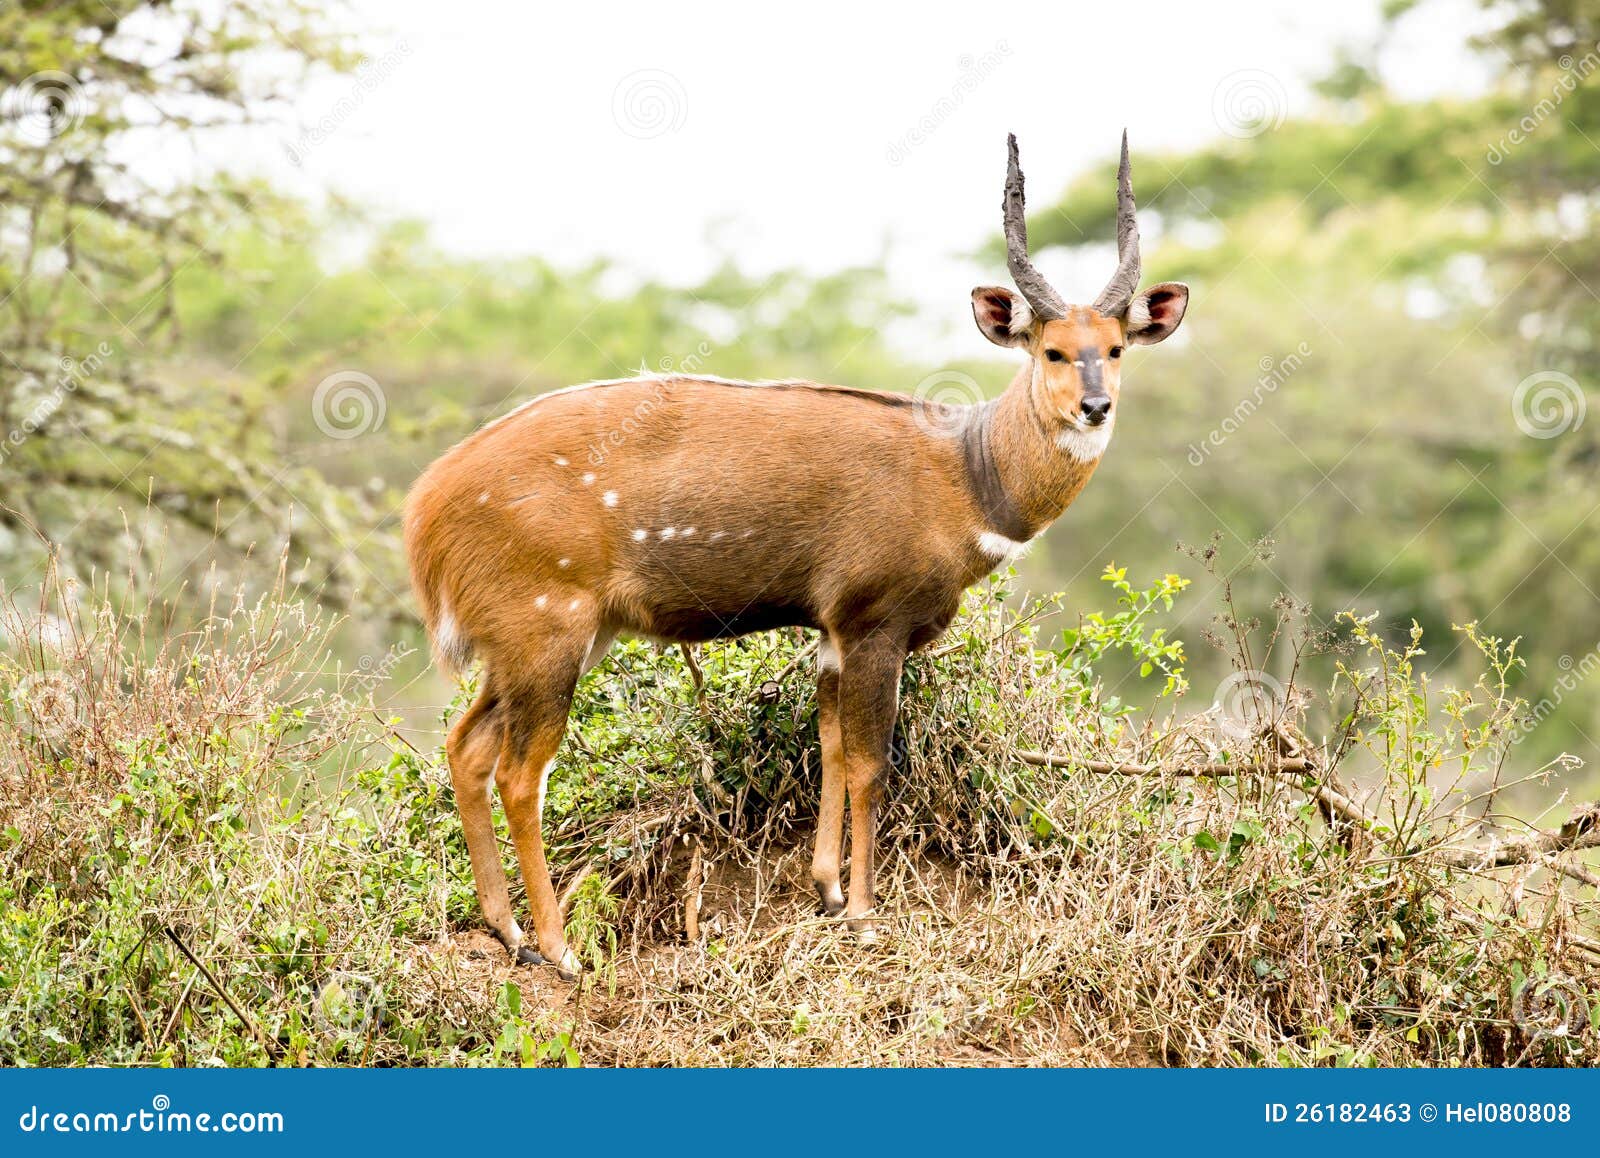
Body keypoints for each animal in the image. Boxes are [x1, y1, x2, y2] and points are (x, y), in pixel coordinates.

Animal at [404, 133, 1188, 978]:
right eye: (1052, 351)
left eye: (1115, 348)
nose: (1095, 406)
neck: (965, 475)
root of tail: (425, 506)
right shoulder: (875, 622)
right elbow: (872, 765)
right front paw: (868, 917)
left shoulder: (831, 634)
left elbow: (832, 746)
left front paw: (829, 891)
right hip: (548, 630)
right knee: (520, 772)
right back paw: (557, 948)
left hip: (539, 644)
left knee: (465, 748)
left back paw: (508, 931)